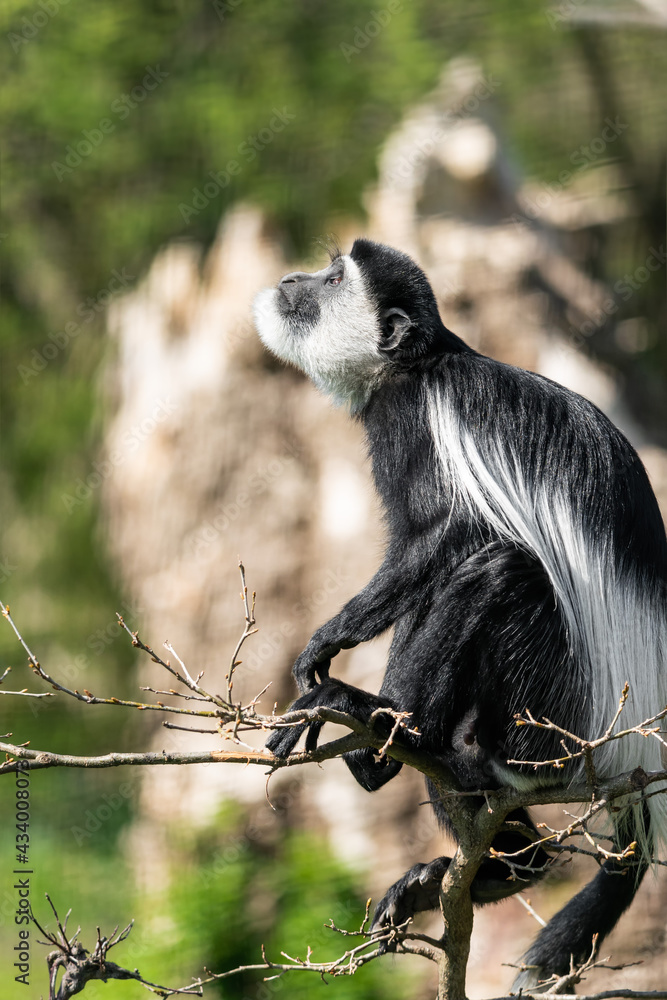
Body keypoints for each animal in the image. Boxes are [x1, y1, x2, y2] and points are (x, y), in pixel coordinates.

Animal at [253, 238, 667, 988]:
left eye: (333, 278)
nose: (293, 278)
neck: (418, 366)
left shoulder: (415, 420)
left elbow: (441, 534)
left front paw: (323, 651)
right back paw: (494, 856)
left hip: (552, 711)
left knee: (496, 568)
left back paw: (386, 731)